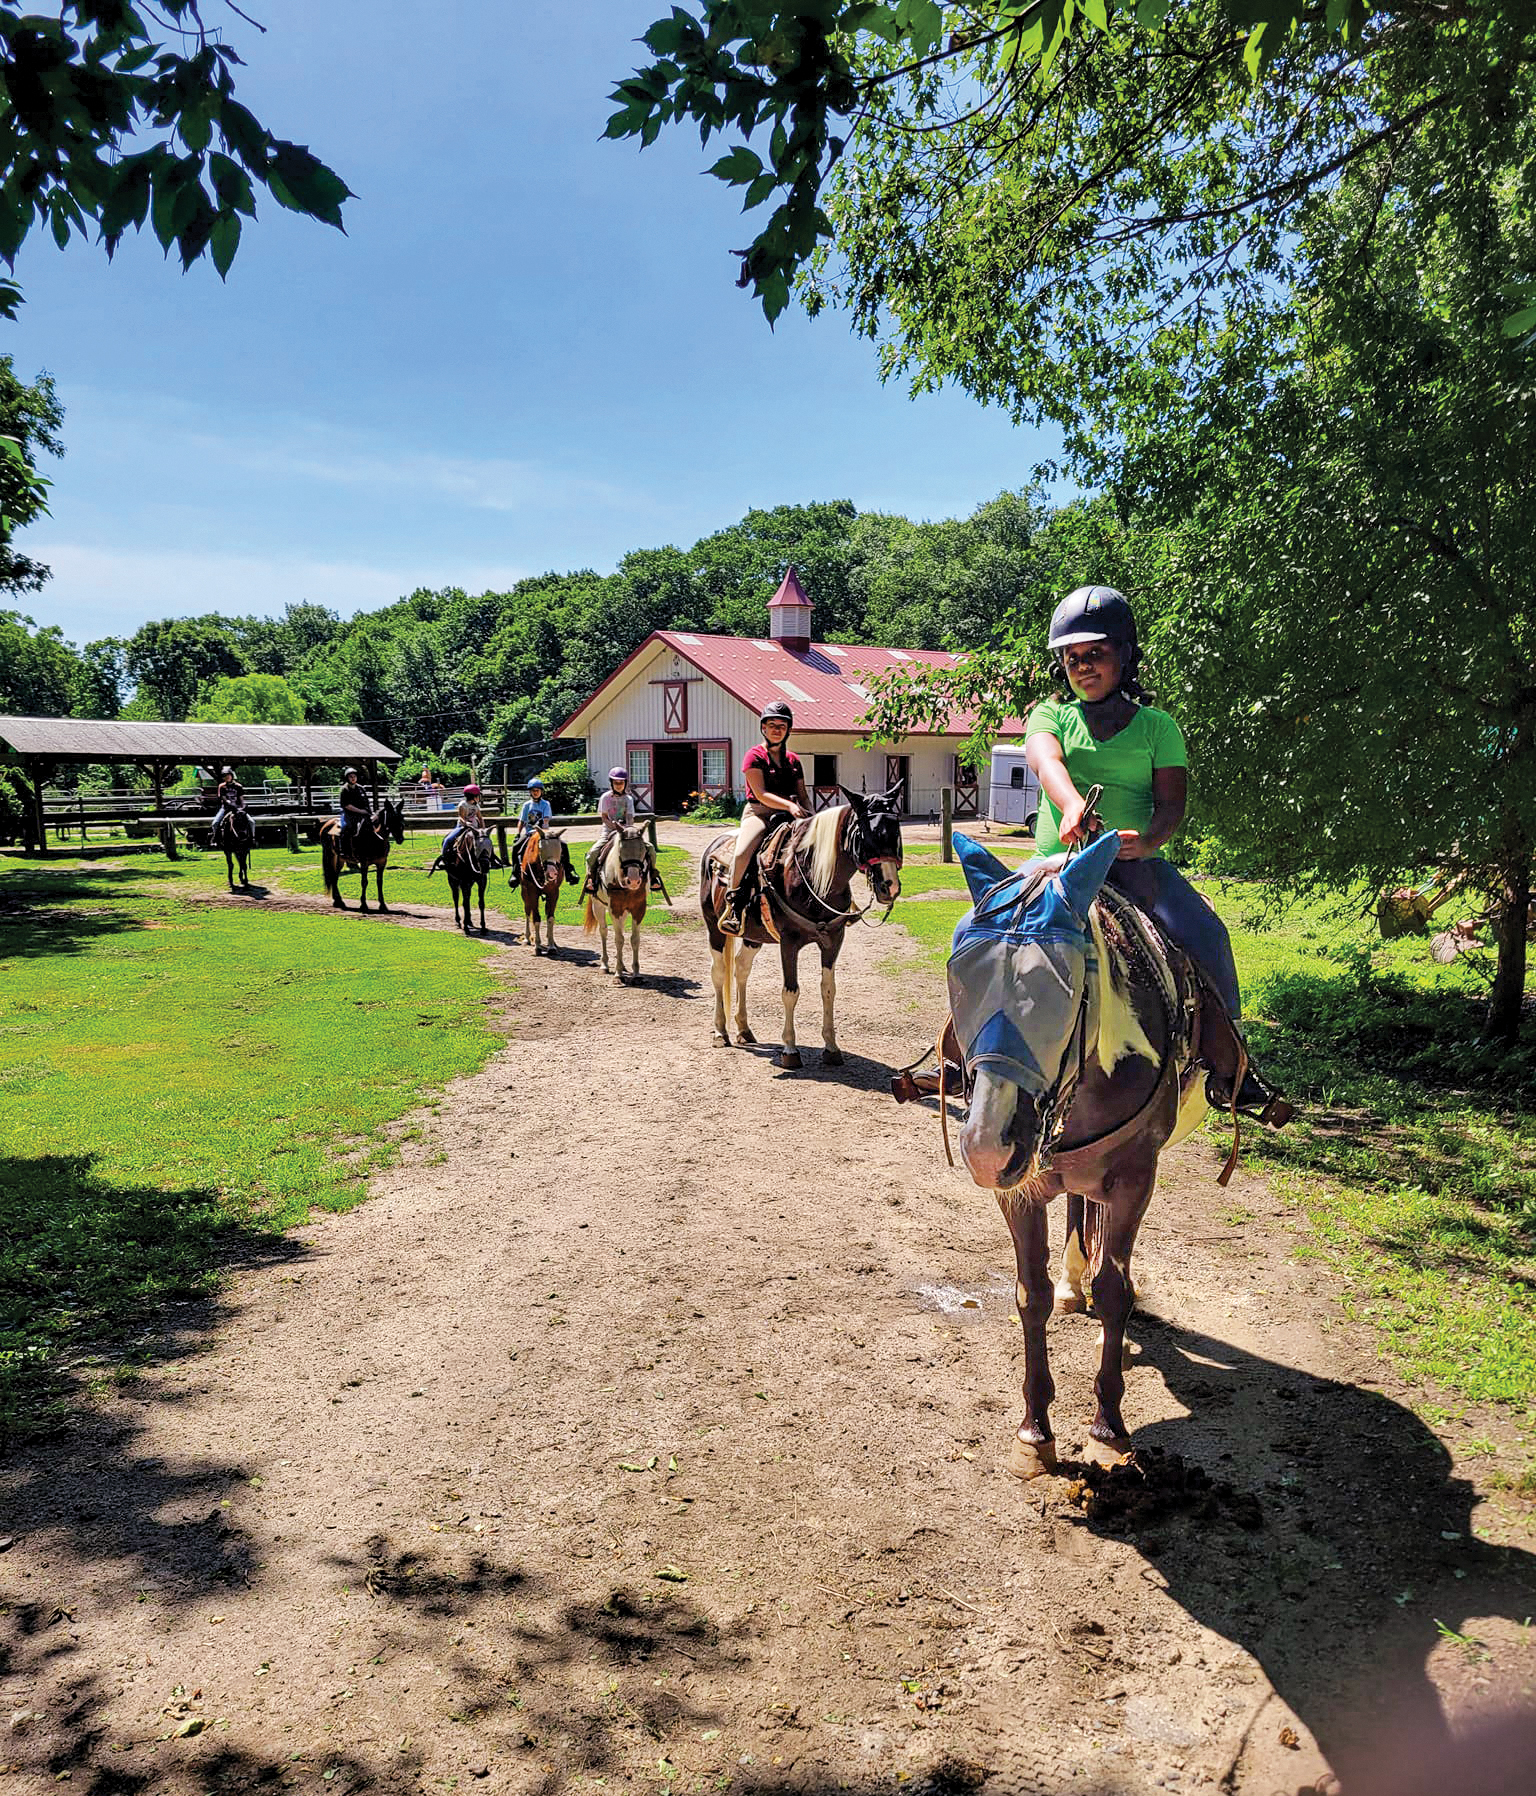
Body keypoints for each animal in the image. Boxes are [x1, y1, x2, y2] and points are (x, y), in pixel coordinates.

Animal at [517, 823, 572, 952]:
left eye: (560, 850)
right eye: (541, 848)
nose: (552, 874)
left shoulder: (554, 892)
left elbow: (550, 917)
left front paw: (551, 945)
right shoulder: (531, 891)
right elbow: (536, 917)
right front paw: (537, 945)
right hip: (524, 892)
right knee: (528, 911)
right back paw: (527, 938)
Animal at [583, 820, 653, 981]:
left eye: (643, 851)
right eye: (620, 851)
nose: (633, 881)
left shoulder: (639, 909)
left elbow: (634, 939)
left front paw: (636, 973)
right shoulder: (614, 908)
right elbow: (618, 939)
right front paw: (618, 974)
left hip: (624, 912)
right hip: (598, 906)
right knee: (604, 931)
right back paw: (605, 965)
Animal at [700, 788, 904, 1070]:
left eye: (896, 830)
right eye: (866, 834)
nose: (889, 887)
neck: (813, 876)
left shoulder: (833, 940)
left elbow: (828, 989)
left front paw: (831, 1047)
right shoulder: (789, 943)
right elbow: (790, 992)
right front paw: (790, 1050)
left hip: (753, 935)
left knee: (741, 969)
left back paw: (743, 1029)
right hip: (715, 929)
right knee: (719, 973)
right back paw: (720, 1032)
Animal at [936, 827, 1218, 1480]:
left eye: (1061, 991)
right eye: (960, 977)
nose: (987, 1148)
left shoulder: (1136, 1178)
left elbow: (1117, 1292)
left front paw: (1108, 1428)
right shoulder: (1020, 1190)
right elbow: (1030, 1294)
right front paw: (1035, 1431)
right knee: (1077, 1212)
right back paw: (1072, 1283)